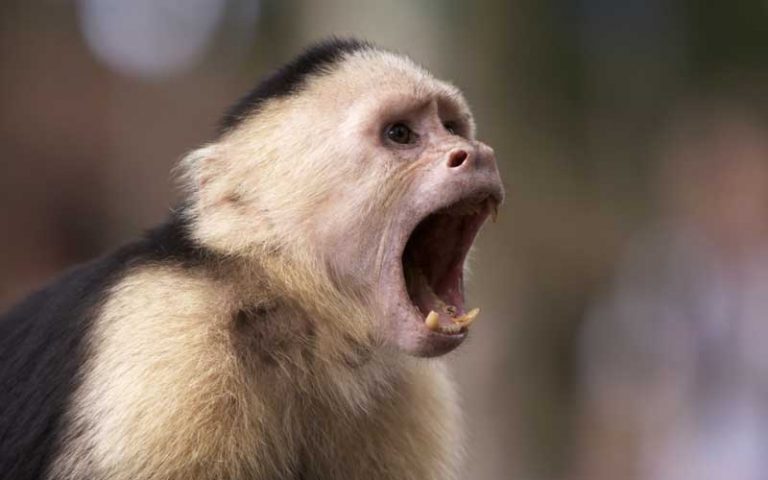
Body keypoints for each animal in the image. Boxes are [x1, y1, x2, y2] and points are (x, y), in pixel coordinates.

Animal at [0, 38, 504, 480]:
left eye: (451, 129)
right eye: (401, 134)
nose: (474, 154)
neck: (296, 314)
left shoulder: (406, 395)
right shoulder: (170, 352)